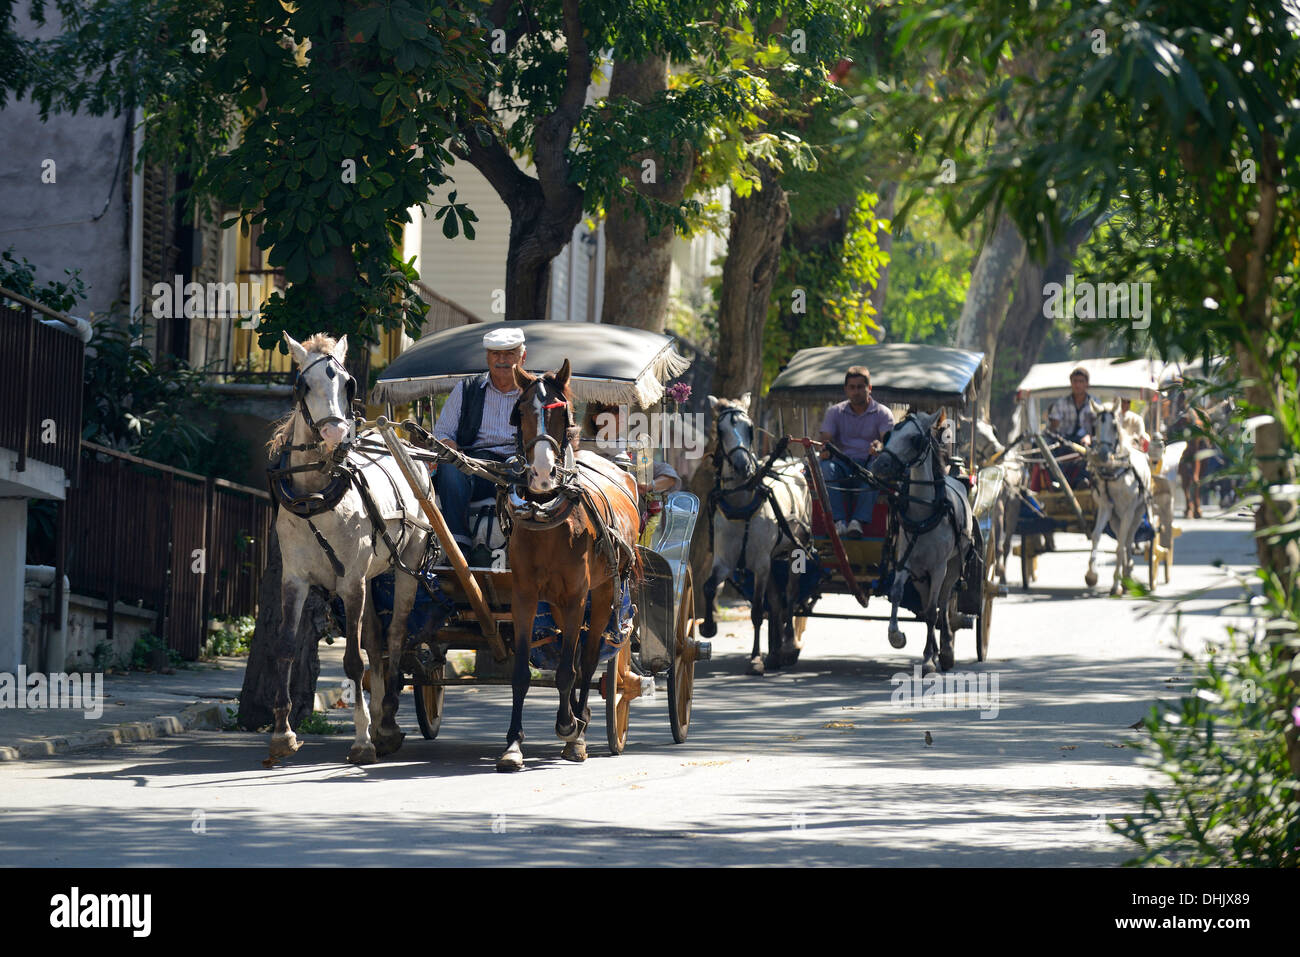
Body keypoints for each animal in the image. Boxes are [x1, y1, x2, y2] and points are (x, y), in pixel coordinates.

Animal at [266, 332, 432, 765]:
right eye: (303, 386)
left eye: (347, 384)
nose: (336, 437)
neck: (315, 496)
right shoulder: (294, 580)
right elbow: (285, 648)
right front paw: (282, 733)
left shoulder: (350, 583)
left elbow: (353, 662)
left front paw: (362, 740)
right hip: (370, 579)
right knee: (374, 639)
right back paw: (380, 718)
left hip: (404, 567)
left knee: (394, 637)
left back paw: (386, 723)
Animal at [496, 359, 642, 771]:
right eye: (521, 413)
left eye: (563, 414)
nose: (543, 475)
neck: (545, 513)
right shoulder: (525, 597)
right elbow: (521, 673)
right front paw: (513, 745)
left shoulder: (578, 596)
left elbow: (568, 671)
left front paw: (569, 727)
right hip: (561, 605)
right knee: (575, 654)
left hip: (603, 592)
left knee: (588, 661)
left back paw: (579, 727)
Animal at [698, 393, 812, 676]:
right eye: (720, 430)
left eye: (750, 429)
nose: (743, 466)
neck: (741, 504)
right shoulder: (725, 560)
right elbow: (708, 586)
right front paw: (708, 626)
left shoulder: (760, 564)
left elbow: (758, 612)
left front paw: (755, 659)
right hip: (772, 560)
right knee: (777, 602)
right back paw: (775, 652)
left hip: (794, 550)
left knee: (790, 596)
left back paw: (788, 644)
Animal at [866, 409, 974, 676]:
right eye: (888, 434)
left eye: (914, 438)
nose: (879, 464)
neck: (924, 511)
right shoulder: (906, 563)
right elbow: (897, 594)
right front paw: (896, 637)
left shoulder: (938, 568)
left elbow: (934, 611)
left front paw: (929, 660)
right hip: (921, 577)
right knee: (928, 606)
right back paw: (936, 651)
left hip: (952, 567)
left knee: (942, 604)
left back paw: (945, 651)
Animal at [1084, 402, 1154, 595]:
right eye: (1095, 425)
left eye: (1115, 425)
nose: (1103, 455)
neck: (1114, 470)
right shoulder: (1105, 508)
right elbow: (1096, 536)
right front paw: (1091, 575)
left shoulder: (1129, 510)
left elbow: (1120, 546)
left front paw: (1116, 585)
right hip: (1116, 518)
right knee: (1124, 540)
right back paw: (1126, 575)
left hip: (1137, 513)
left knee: (1128, 540)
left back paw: (1127, 575)